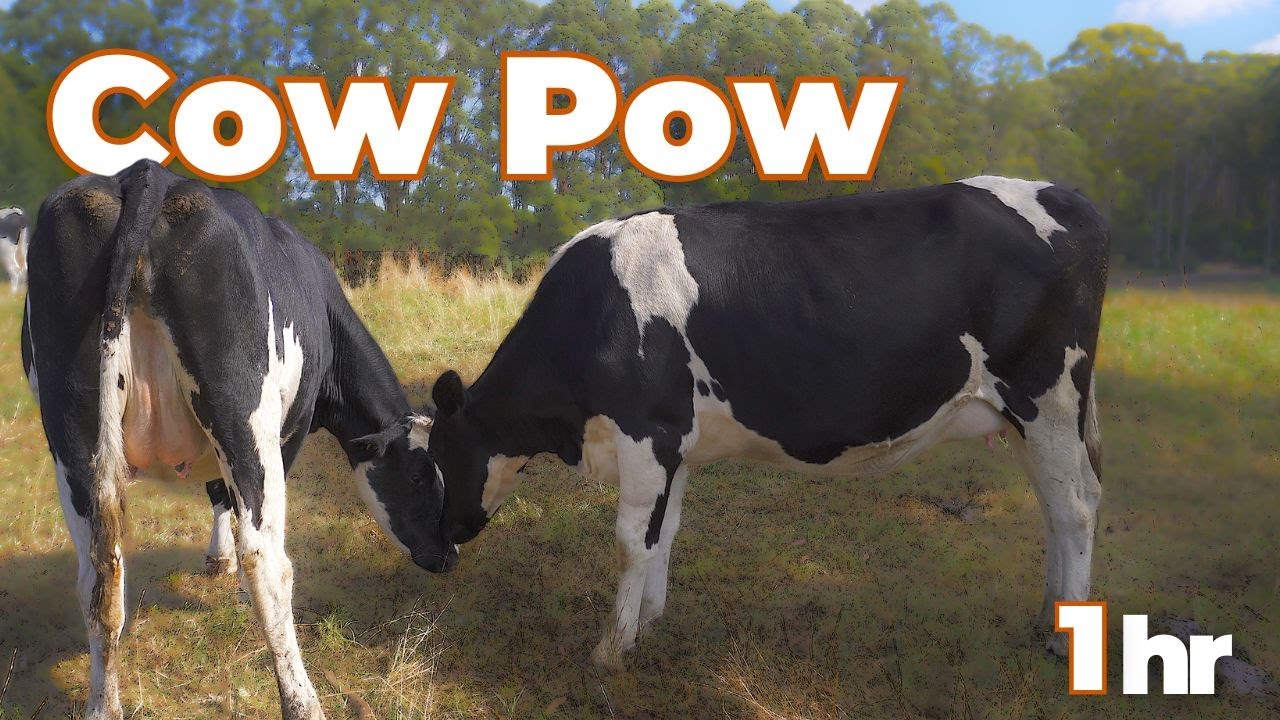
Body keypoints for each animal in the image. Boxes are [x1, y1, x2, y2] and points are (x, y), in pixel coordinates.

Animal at [21, 159, 452, 720]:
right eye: (421, 476)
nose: (449, 554)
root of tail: (143, 174)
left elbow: (215, 492)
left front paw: (215, 557)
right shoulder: (286, 433)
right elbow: (236, 511)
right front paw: (229, 569)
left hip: (74, 433)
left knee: (100, 571)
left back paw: (103, 704)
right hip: (241, 417)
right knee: (267, 560)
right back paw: (302, 699)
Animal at [425, 176, 1109, 669]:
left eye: (440, 456)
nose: (439, 546)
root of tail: (1065, 196)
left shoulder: (647, 431)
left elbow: (629, 541)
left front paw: (610, 650)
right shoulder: (677, 442)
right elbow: (663, 535)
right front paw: (649, 623)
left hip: (1046, 400)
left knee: (1074, 509)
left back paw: (1064, 640)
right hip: (1031, 419)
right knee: (1058, 507)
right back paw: (1052, 617)